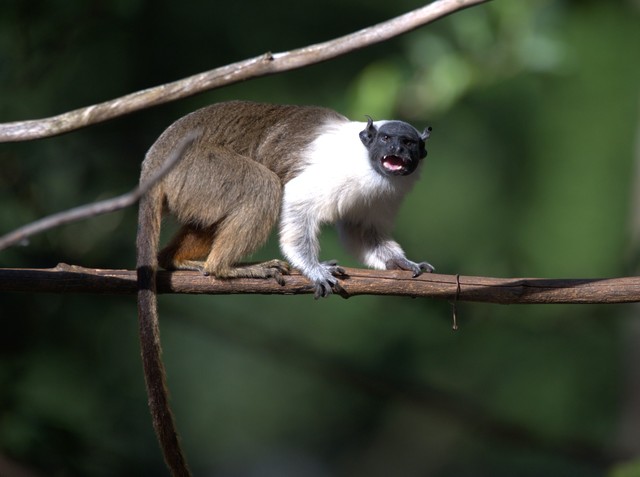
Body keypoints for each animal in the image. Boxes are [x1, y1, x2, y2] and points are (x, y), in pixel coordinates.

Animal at [136, 100, 433, 476]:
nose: (397, 151)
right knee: (264, 184)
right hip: (196, 170)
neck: (371, 166)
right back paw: (223, 268)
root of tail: (156, 158)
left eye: (408, 144)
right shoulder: (342, 175)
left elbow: (362, 232)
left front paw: (401, 263)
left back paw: (179, 261)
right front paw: (311, 269)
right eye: (387, 139)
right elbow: (296, 199)